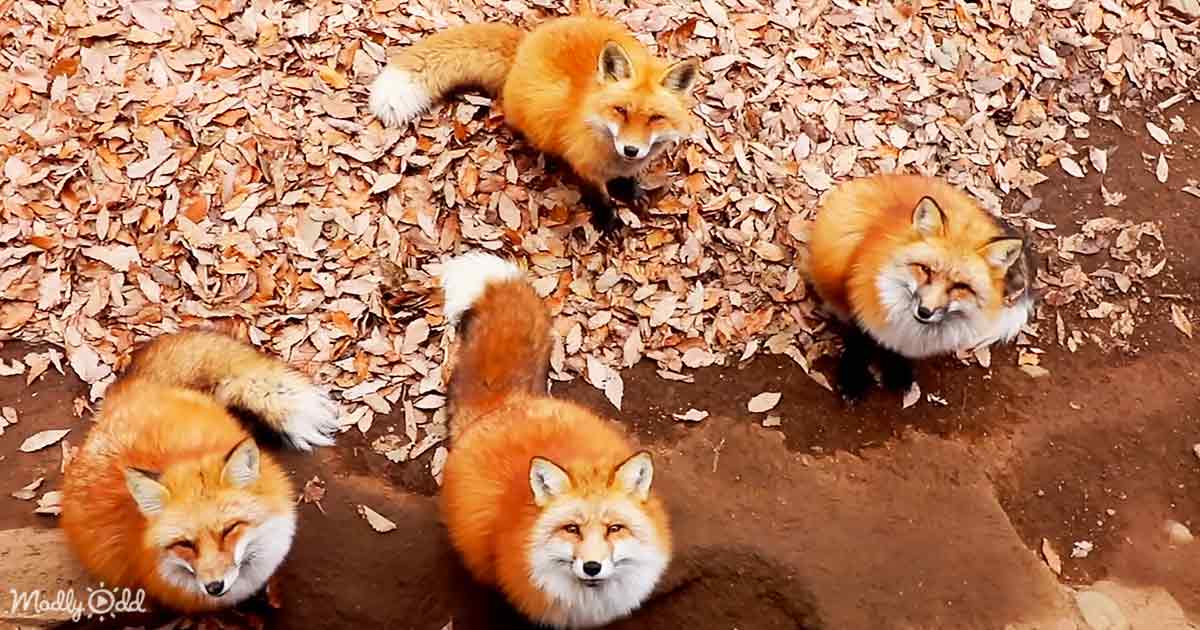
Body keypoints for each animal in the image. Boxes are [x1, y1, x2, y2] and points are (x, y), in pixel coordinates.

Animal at [368, 0, 700, 233]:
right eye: (621, 110)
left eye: (655, 118)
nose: (631, 149)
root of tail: (526, 42)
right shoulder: (584, 167)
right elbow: (599, 197)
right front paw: (608, 220)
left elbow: (628, 180)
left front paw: (632, 191)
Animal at [807, 174, 1035, 401]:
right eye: (925, 270)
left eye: (960, 286)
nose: (925, 311)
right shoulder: (859, 300)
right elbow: (858, 342)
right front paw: (852, 378)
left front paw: (896, 370)